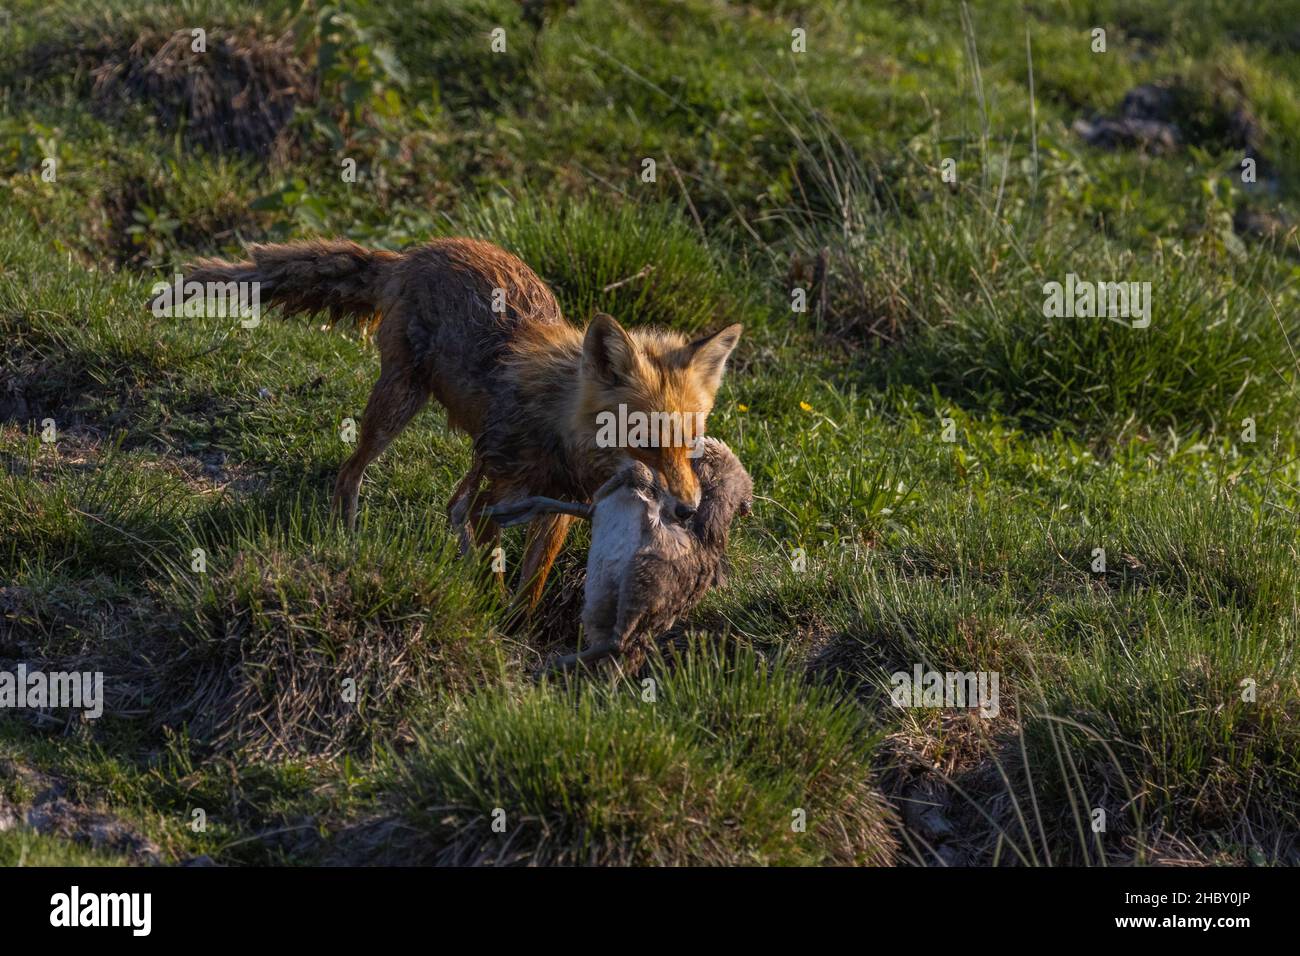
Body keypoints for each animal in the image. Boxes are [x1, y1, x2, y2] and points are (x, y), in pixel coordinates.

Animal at [159, 237, 743, 610]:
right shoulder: (499, 494)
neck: (560, 432)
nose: (688, 510)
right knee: (349, 472)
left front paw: (517, 632)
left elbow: (531, 589)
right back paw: (346, 539)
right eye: (642, 441)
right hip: (397, 404)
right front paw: (488, 614)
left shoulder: (560, 508)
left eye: (691, 446)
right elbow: (489, 563)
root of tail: (416, 252)